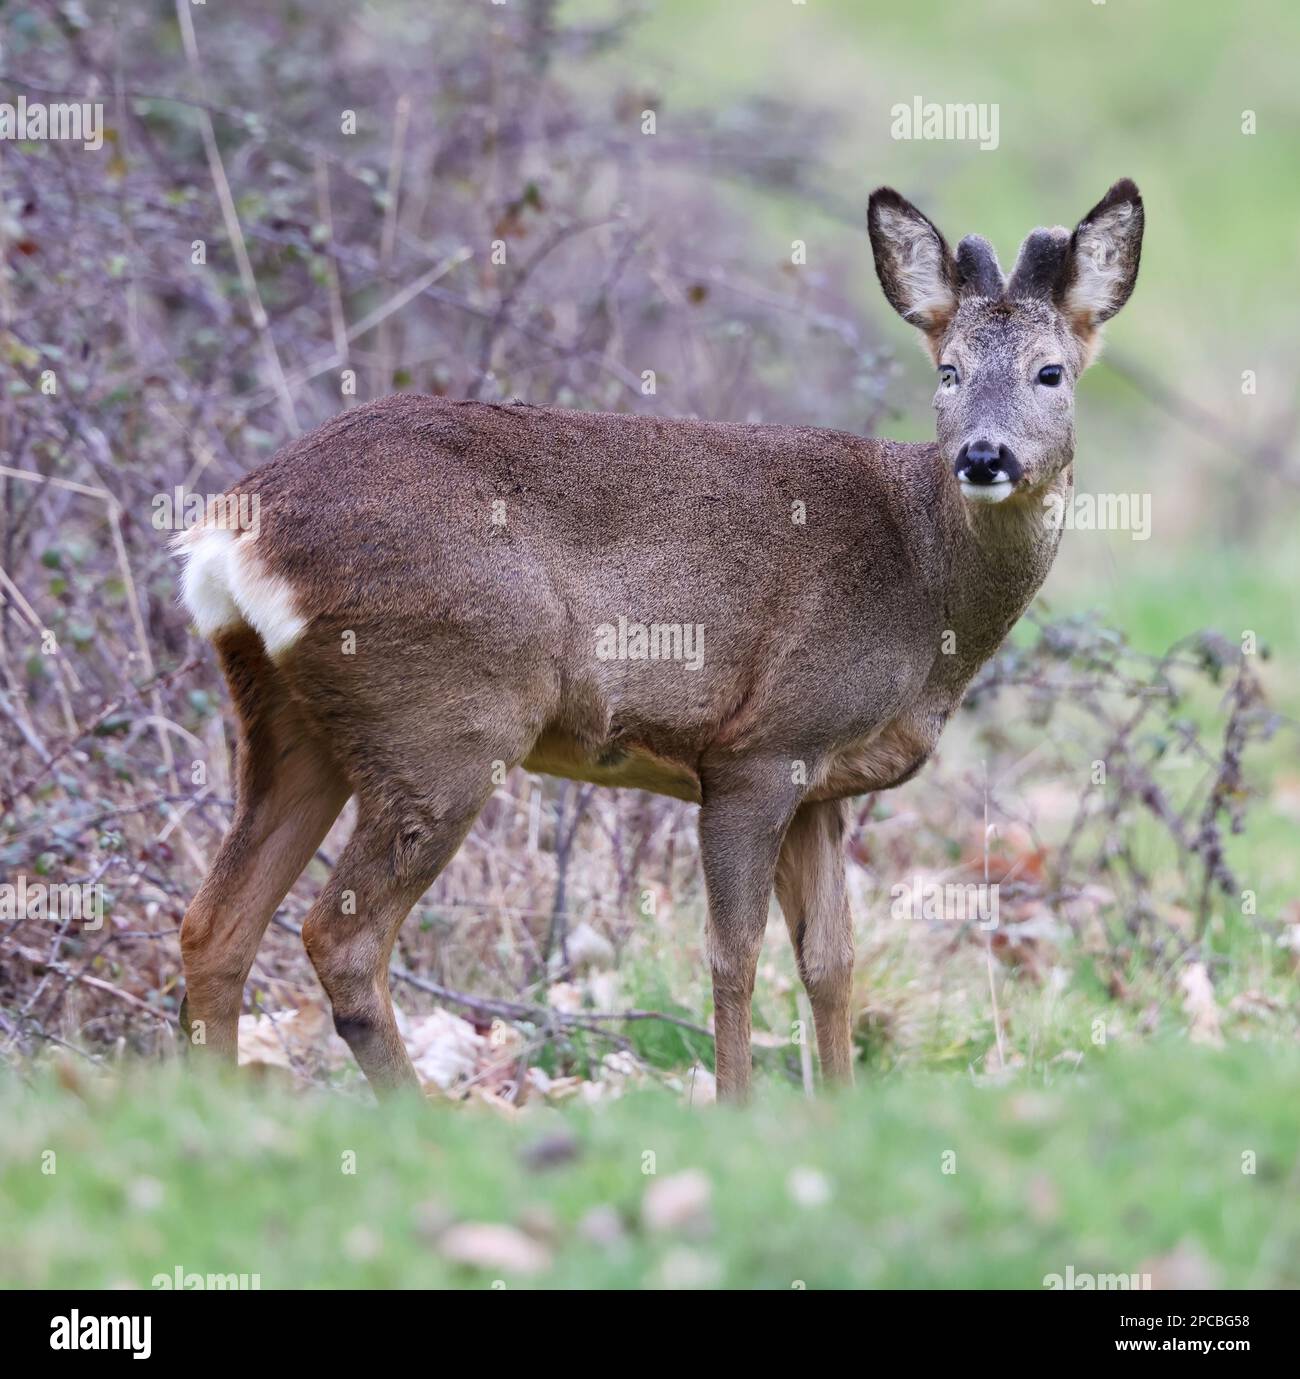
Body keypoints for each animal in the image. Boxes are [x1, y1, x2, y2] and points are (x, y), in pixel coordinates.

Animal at [174, 179, 1143, 1102]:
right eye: (947, 371)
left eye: (1051, 372)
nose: (983, 456)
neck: (922, 579)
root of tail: (234, 531)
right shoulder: (761, 746)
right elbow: (734, 953)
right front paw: (739, 1108)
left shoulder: (823, 781)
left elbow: (831, 962)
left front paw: (837, 1108)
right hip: (445, 718)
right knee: (338, 935)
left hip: (291, 721)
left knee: (214, 924)